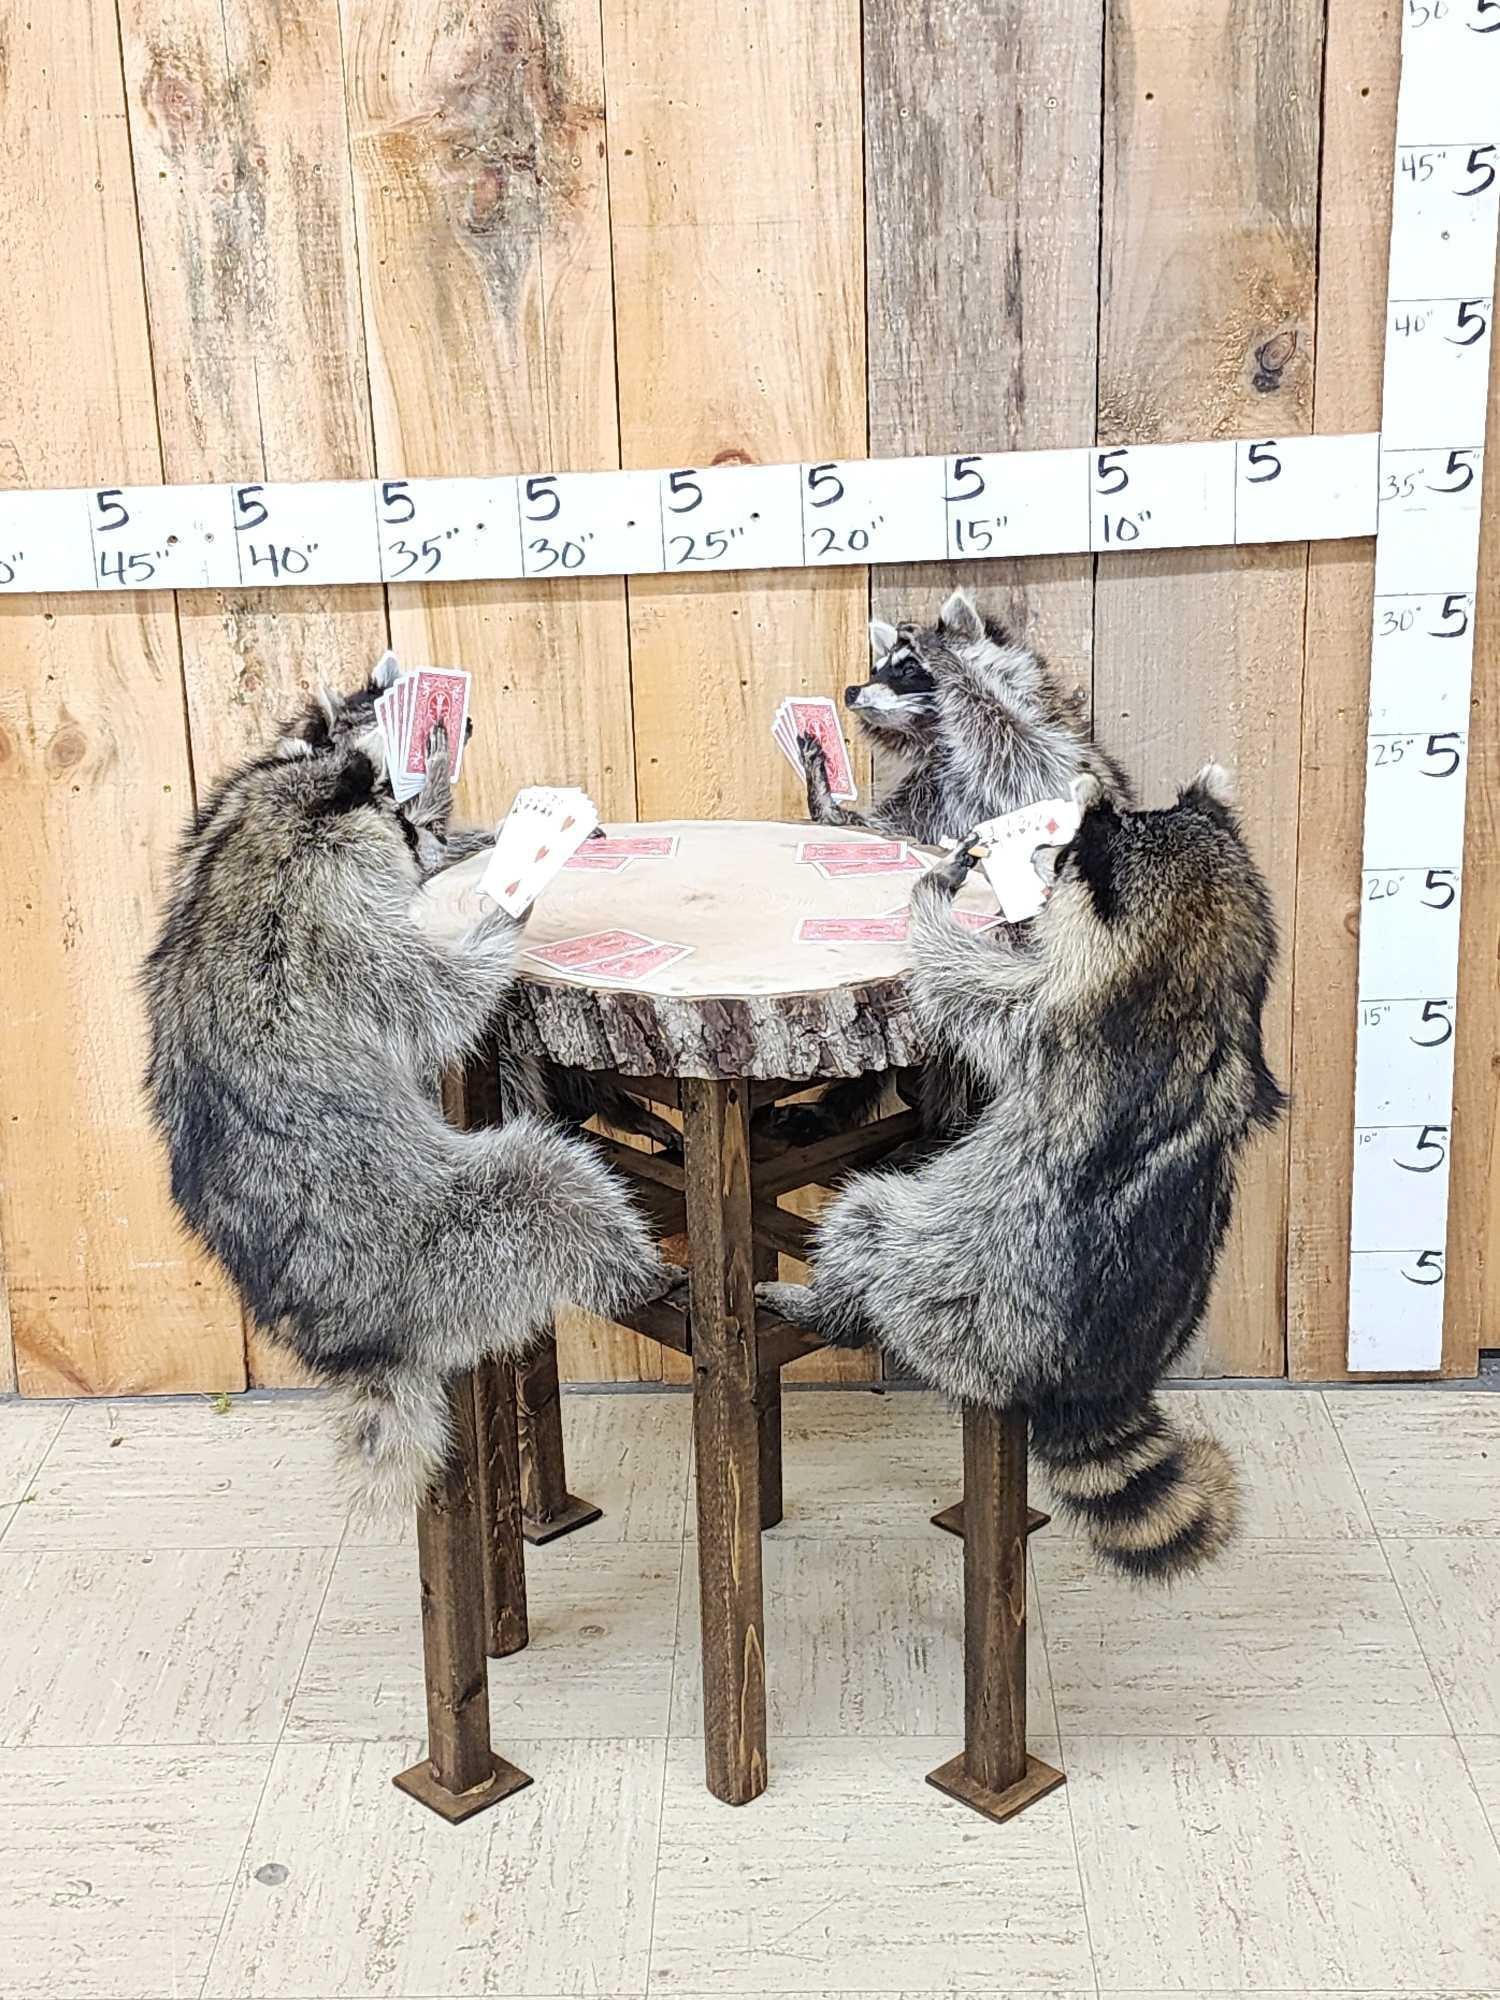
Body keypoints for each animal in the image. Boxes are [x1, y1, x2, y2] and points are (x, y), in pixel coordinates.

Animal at [142, 718, 679, 1514]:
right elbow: (441, 1002)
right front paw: (502, 905)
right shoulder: (333, 940)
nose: (416, 820)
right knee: (547, 1181)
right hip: (455, 1245)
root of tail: (357, 1344)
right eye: (382, 807)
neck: (244, 846)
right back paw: (637, 1270)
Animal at [759, 764, 1284, 1582]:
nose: (1047, 847)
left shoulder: (1048, 1020)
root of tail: (1093, 1385)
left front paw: (934, 899)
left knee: (866, 1224)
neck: (1198, 972)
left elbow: (959, 985)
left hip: (953, 1291)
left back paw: (826, 1306)